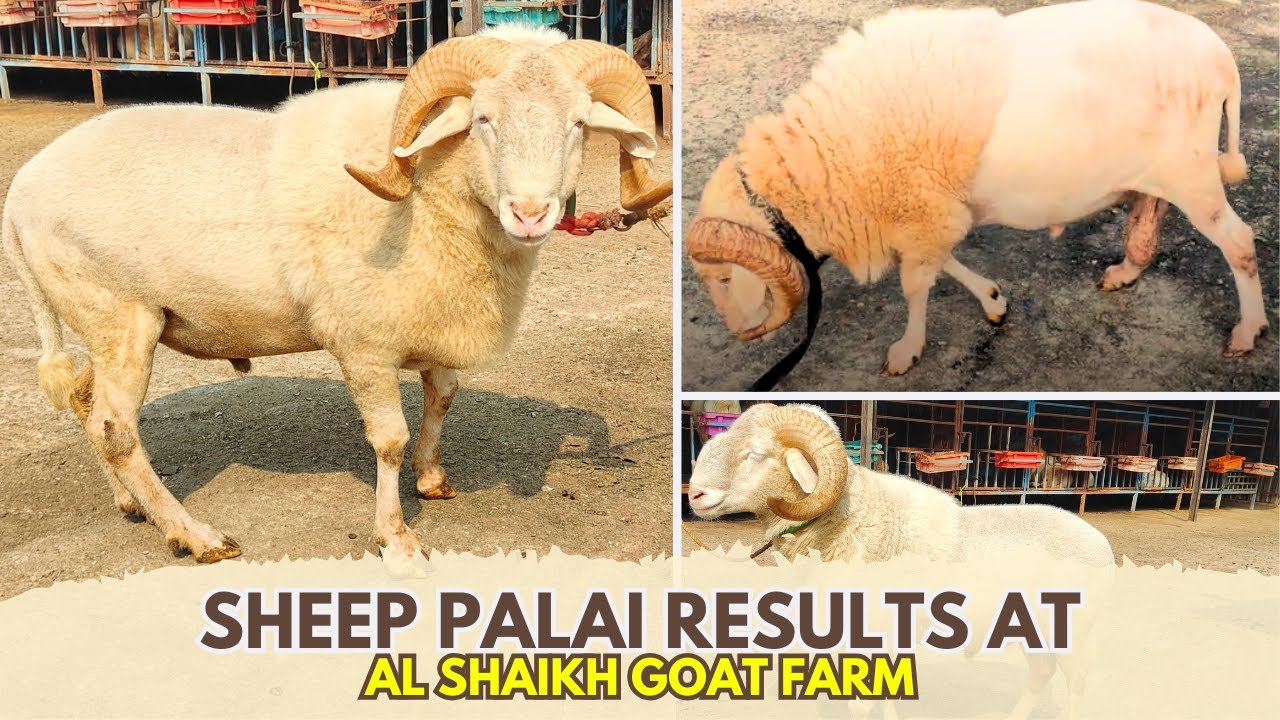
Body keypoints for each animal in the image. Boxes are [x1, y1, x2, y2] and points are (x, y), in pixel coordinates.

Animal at [2, 24, 671, 574]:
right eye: (482, 119)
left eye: (579, 123)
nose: (531, 214)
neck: (426, 191)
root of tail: (21, 190)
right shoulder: (364, 343)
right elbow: (389, 440)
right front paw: (397, 542)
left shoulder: (434, 316)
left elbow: (443, 398)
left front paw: (432, 478)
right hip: (119, 314)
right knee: (117, 430)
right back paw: (195, 536)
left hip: (100, 321)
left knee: (89, 410)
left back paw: (131, 503)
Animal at [685, 0, 1263, 378]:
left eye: (723, 278)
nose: (742, 333)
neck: (824, 161)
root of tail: (1223, 61)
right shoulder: (930, 212)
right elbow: (941, 264)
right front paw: (993, 300)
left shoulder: (920, 210)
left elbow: (915, 285)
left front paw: (907, 350)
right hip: (1163, 173)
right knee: (1149, 212)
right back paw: (1126, 271)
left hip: (1193, 173)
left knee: (1239, 243)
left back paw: (1247, 332)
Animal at [686, 402, 1114, 719]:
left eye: (754, 454)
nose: (694, 495)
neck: (851, 522)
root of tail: (1102, 546)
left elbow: (864, 703)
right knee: (1041, 673)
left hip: (1073, 629)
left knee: (1076, 681)